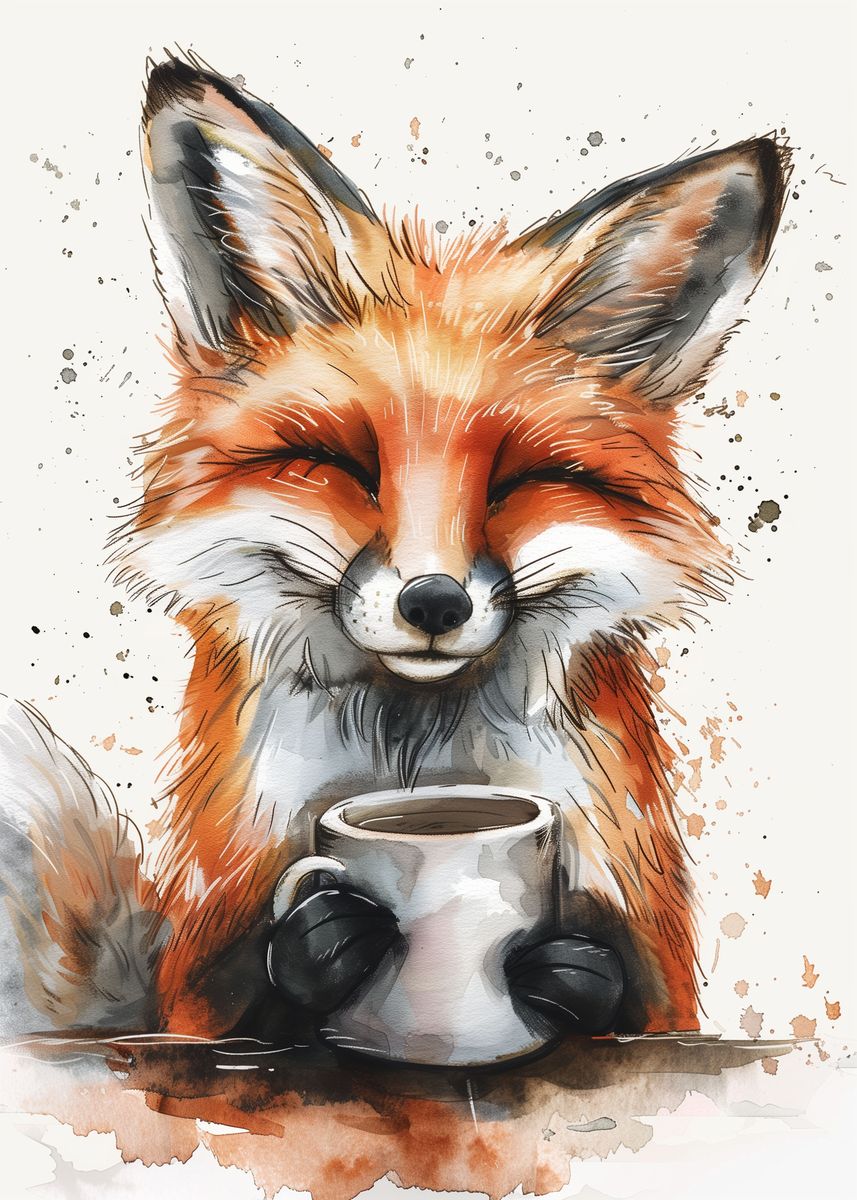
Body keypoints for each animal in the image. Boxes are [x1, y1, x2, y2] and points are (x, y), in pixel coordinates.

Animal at [0, 55, 789, 1045]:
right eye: (342, 463)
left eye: (517, 479)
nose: (434, 603)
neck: (414, 753)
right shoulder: (203, 971)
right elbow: (250, 994)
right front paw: (322, 945)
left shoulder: (647, 941)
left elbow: (622, 992)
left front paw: (565, 976)